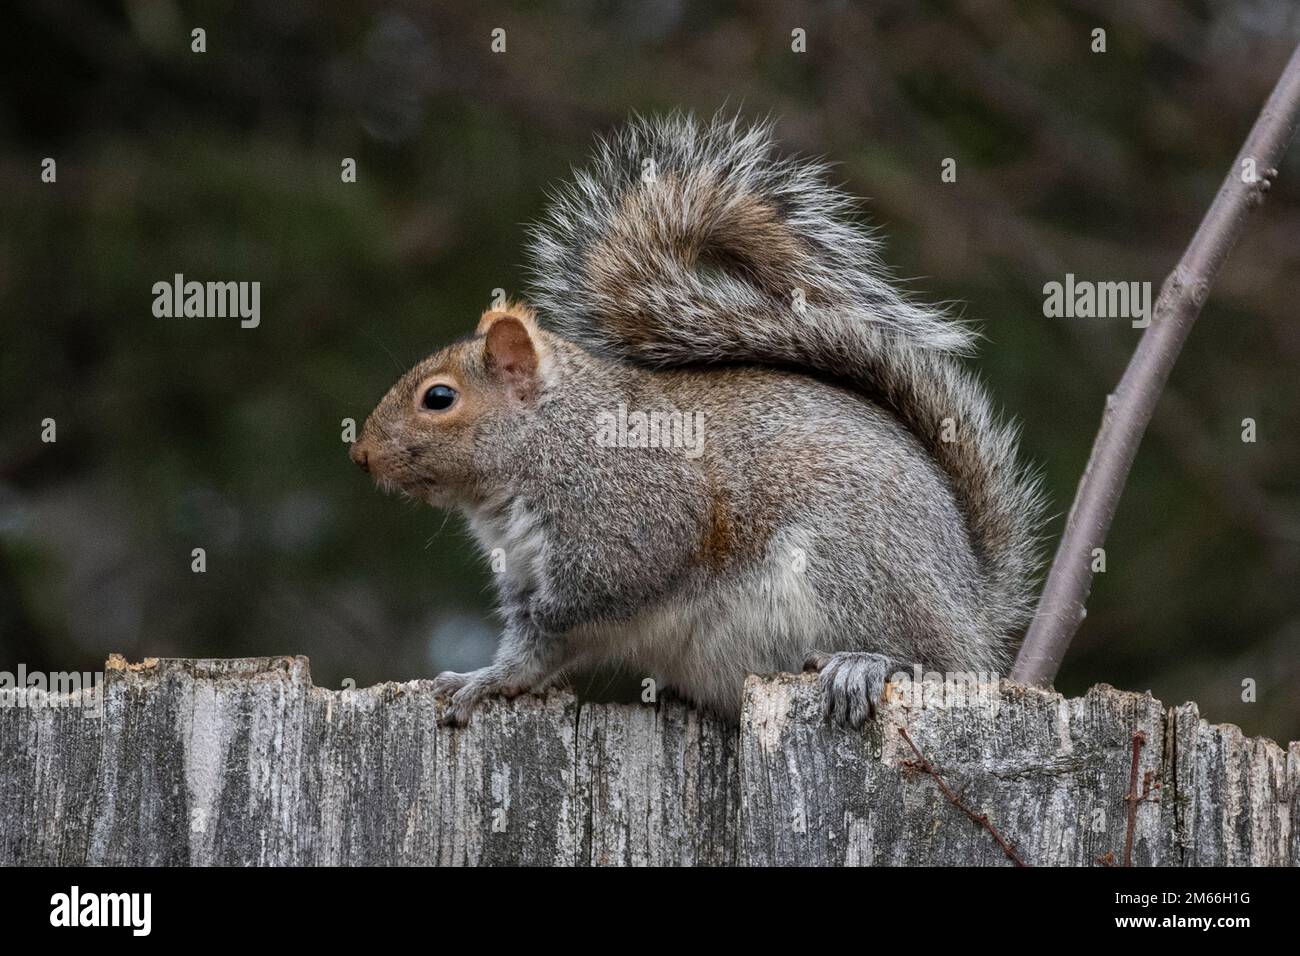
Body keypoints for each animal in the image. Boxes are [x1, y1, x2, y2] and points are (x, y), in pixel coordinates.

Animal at [350, 113, 1044, 727]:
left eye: (439, 398)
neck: (547, 440)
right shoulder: (523, 570)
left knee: (935, 664)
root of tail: (973, 609)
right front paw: (485, 680)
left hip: (856, 562)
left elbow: (604, 589)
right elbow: (531, 653)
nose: (362, 455)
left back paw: (871, 664)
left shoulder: (633, 507)